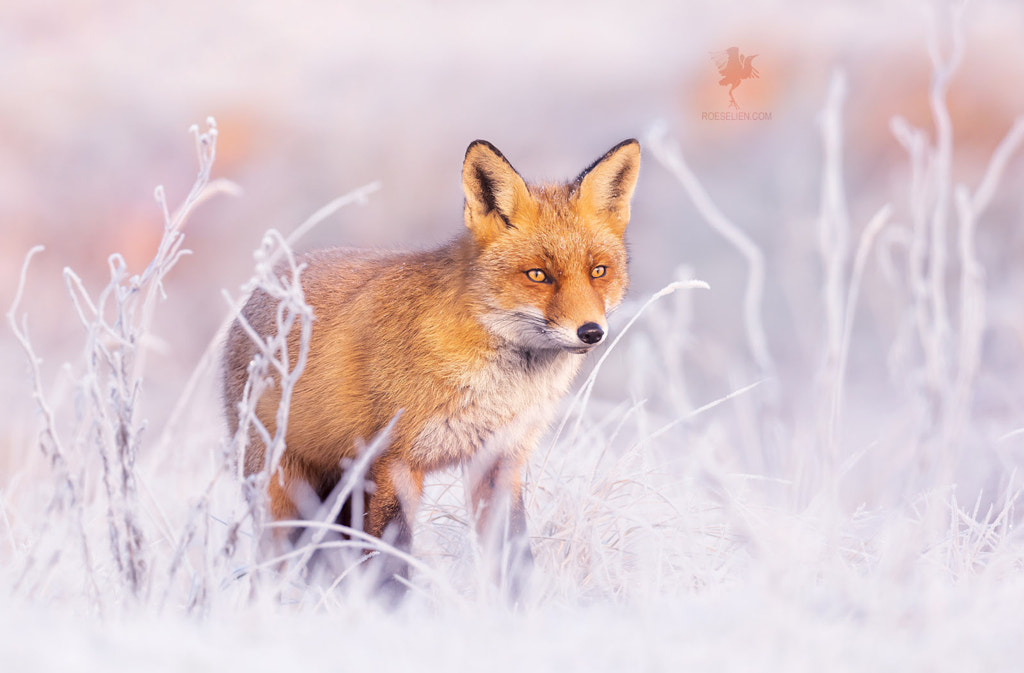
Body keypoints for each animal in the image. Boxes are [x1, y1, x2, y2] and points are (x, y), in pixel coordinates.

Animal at [222, 138, 641, 596]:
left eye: (598, 271)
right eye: (538, 275)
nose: (591, 332)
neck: (498, 387)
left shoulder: (499, 459)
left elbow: (513, 559)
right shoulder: (394, 463)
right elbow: (391, 569)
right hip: (283, 493)